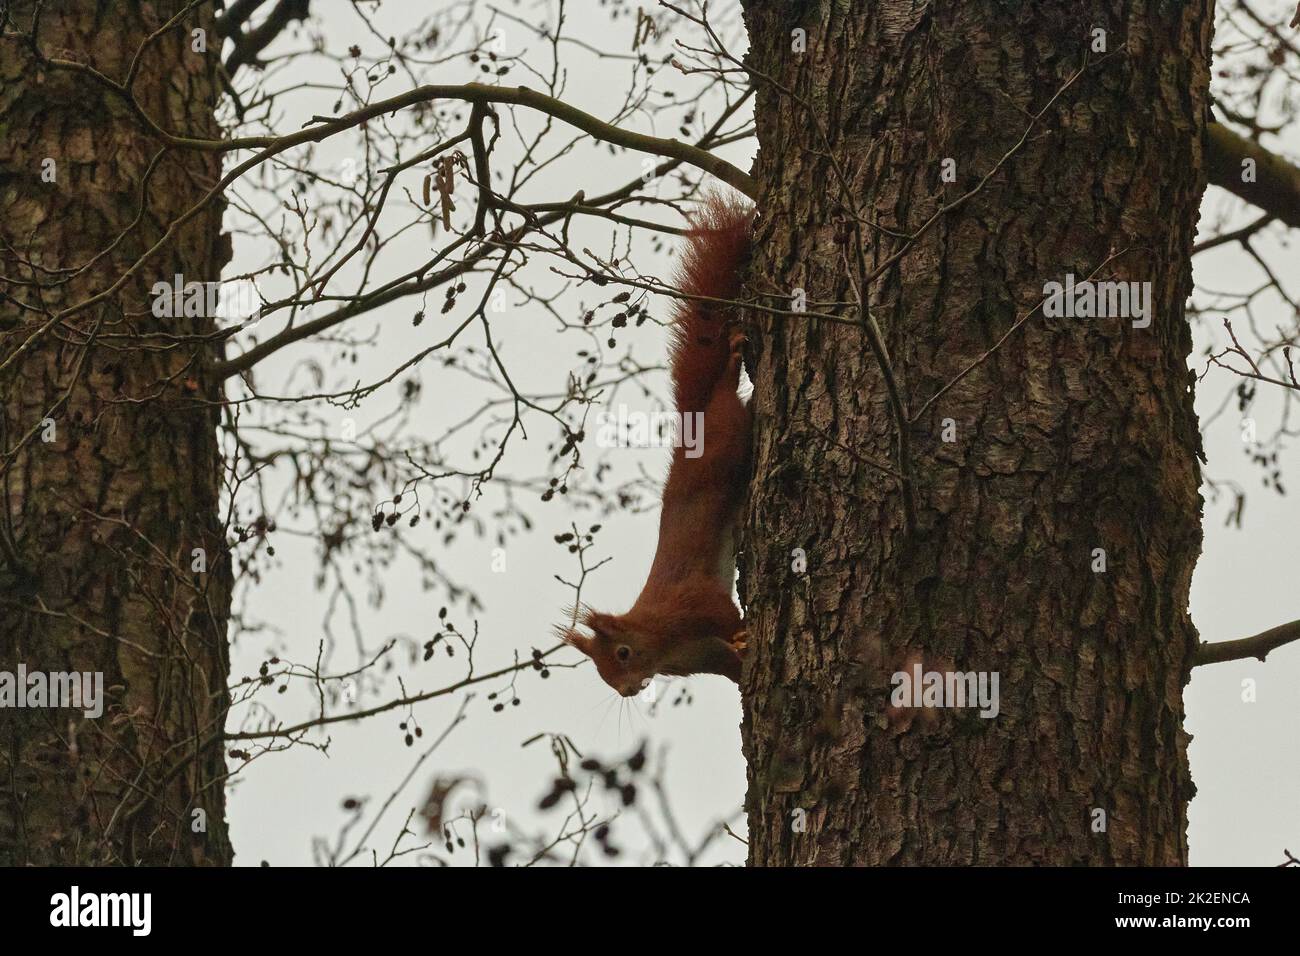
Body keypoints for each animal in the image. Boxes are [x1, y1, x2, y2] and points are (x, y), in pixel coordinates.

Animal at [559, 193, 755, 696]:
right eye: (603, 677)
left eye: (623, 653)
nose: (629, 690)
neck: (660, 639)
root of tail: (694, 420)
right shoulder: (700, 657)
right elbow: (730, 666)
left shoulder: (692, 605)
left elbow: (724, 613)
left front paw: (745, 633)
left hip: (727, 440)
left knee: (727, 392)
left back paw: (732, 358)